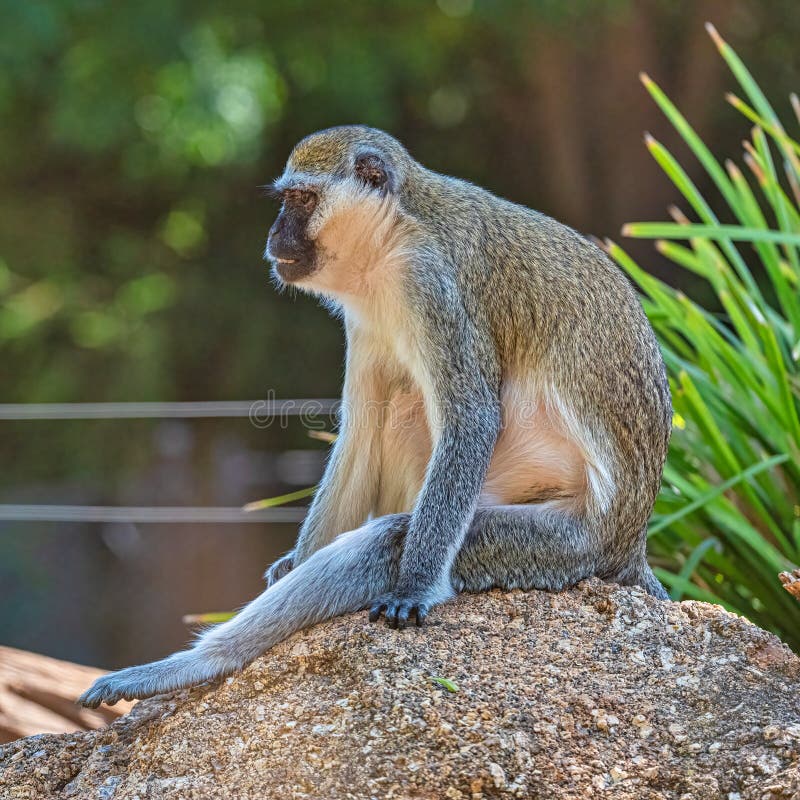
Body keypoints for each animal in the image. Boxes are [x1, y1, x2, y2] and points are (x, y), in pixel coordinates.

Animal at [78, 125, 671, 708]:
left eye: (302, 199)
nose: (274, 237)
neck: (394, 236)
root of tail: (630, 543)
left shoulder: (431, 285)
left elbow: (472, 420)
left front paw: (413, 587)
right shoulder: (366, 317)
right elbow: (360, 436)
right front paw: (296, 560)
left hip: (563, 546)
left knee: (386, 540)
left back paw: (193, 665)